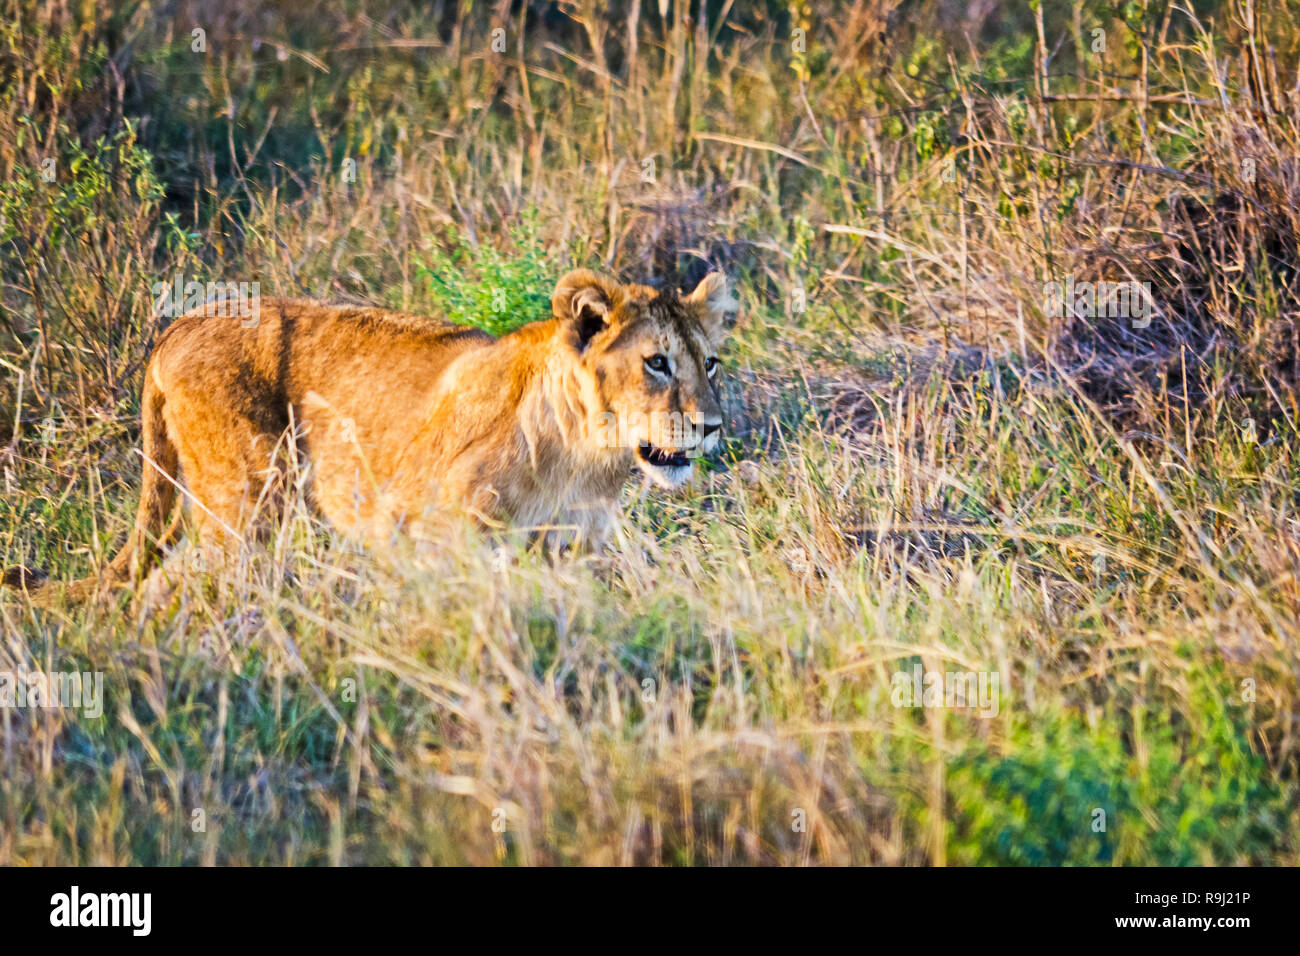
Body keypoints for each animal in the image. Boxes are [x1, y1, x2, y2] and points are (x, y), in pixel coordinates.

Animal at [5, 269, 736, 602]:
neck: (585, 458)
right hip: (247, 504)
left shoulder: (572, 553)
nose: (710, 426)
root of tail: (178, 325)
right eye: (656, 362)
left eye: (710, 363)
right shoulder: (445, 544)